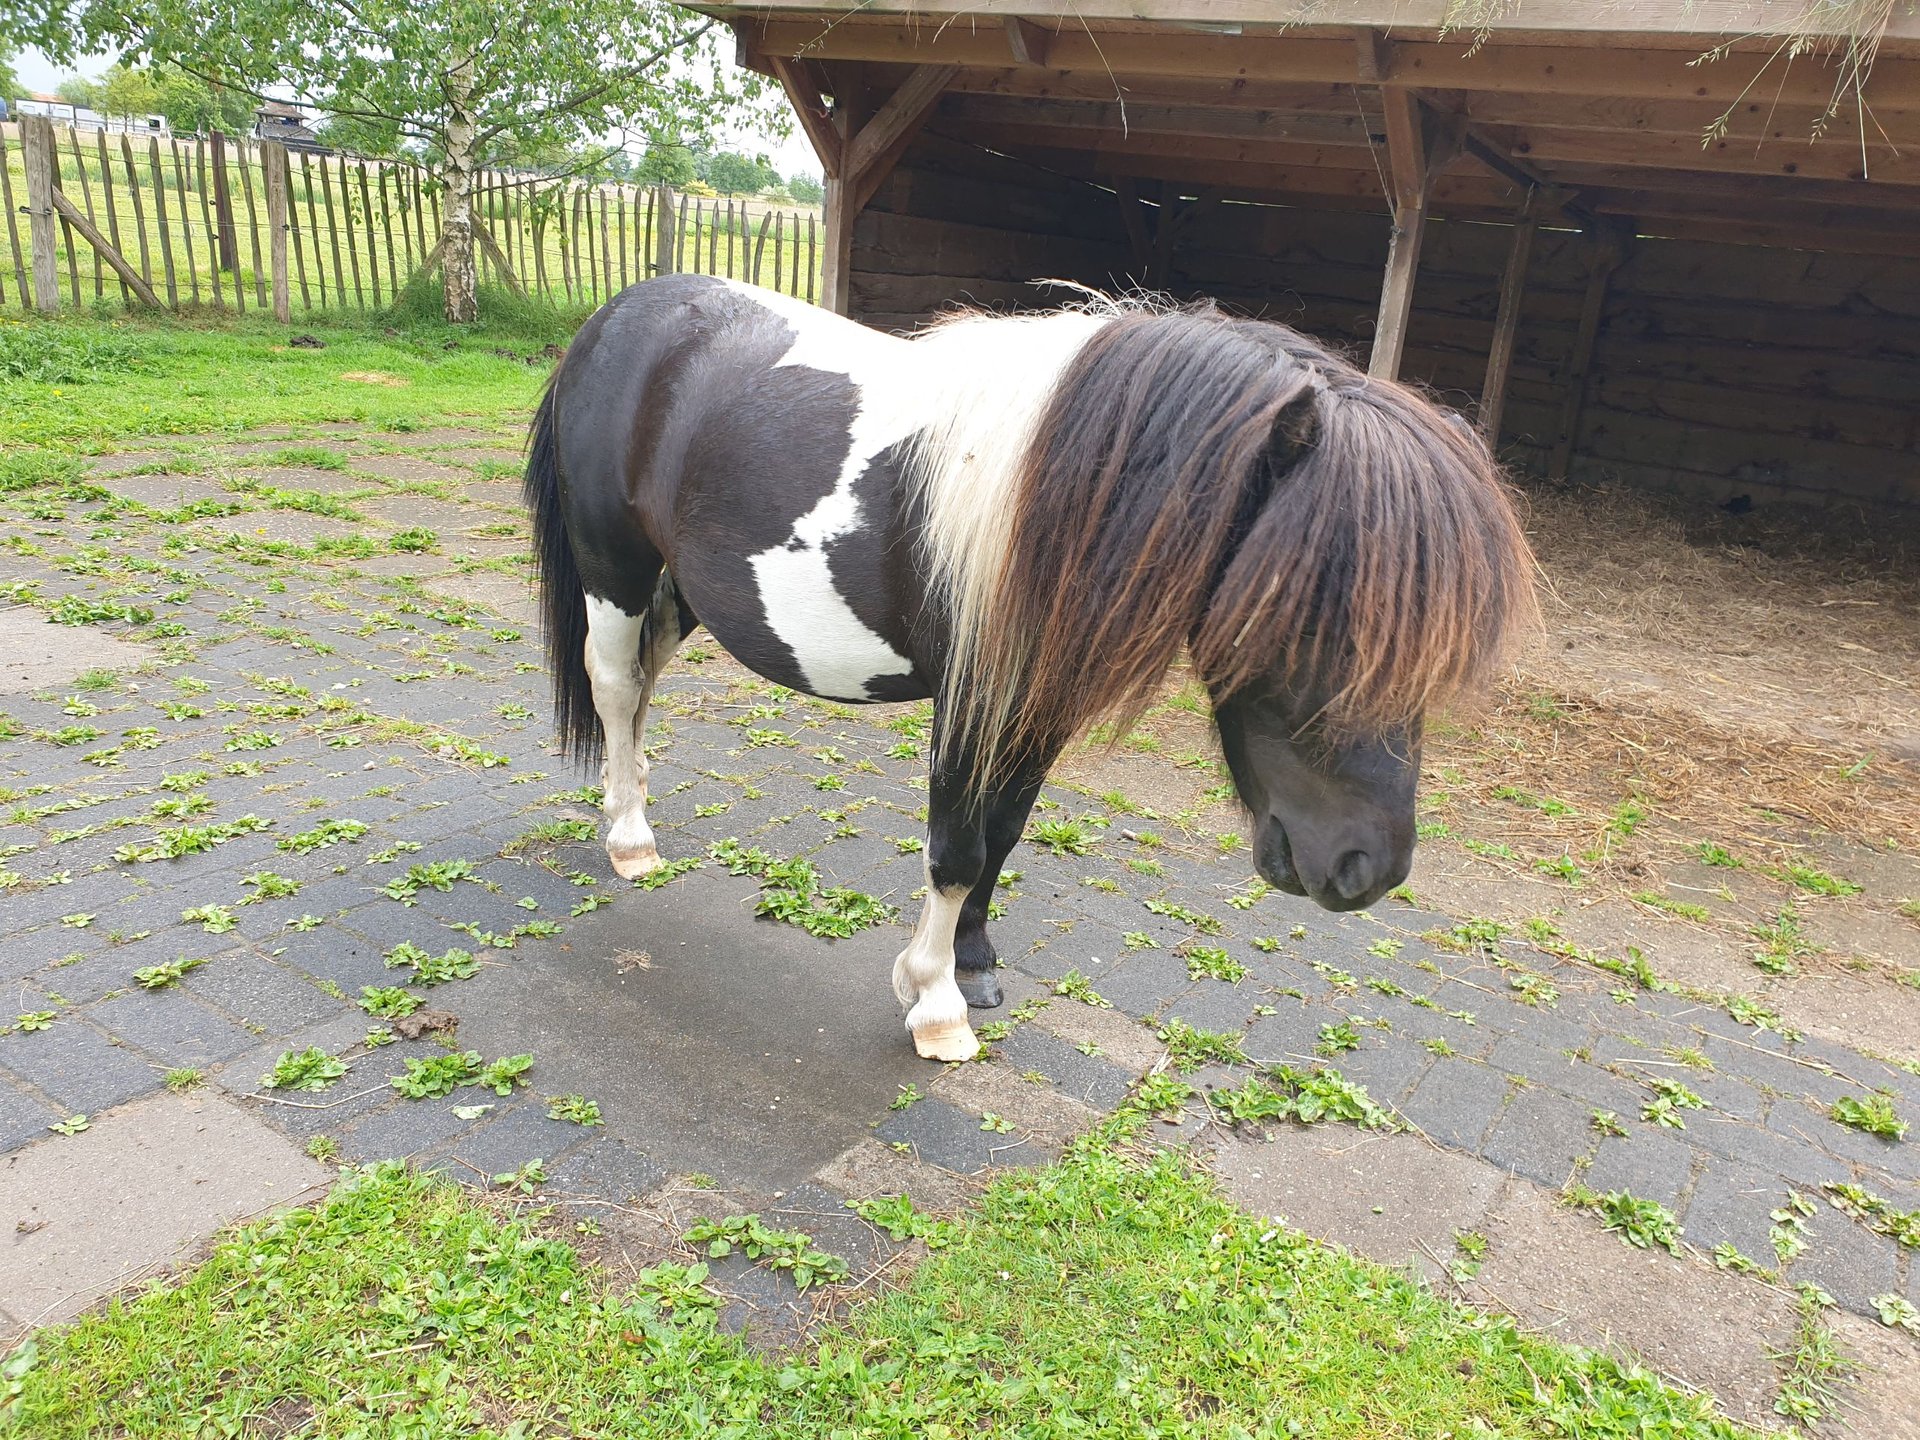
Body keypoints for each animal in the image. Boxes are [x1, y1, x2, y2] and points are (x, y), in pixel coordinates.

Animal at [523, 275, 1535, 1064]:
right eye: (1308, 614)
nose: (1370, 868)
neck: (1046, 501)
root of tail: (617, 318)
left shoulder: (1037, 704)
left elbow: (1003, 835)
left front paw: (971, 966)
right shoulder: (973, 695)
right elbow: (957, 847)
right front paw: (935, 1003)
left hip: (680, 589)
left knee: (642, 687)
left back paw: (629, 801)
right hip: (613, 567)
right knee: (615, 686)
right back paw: (629, 838)